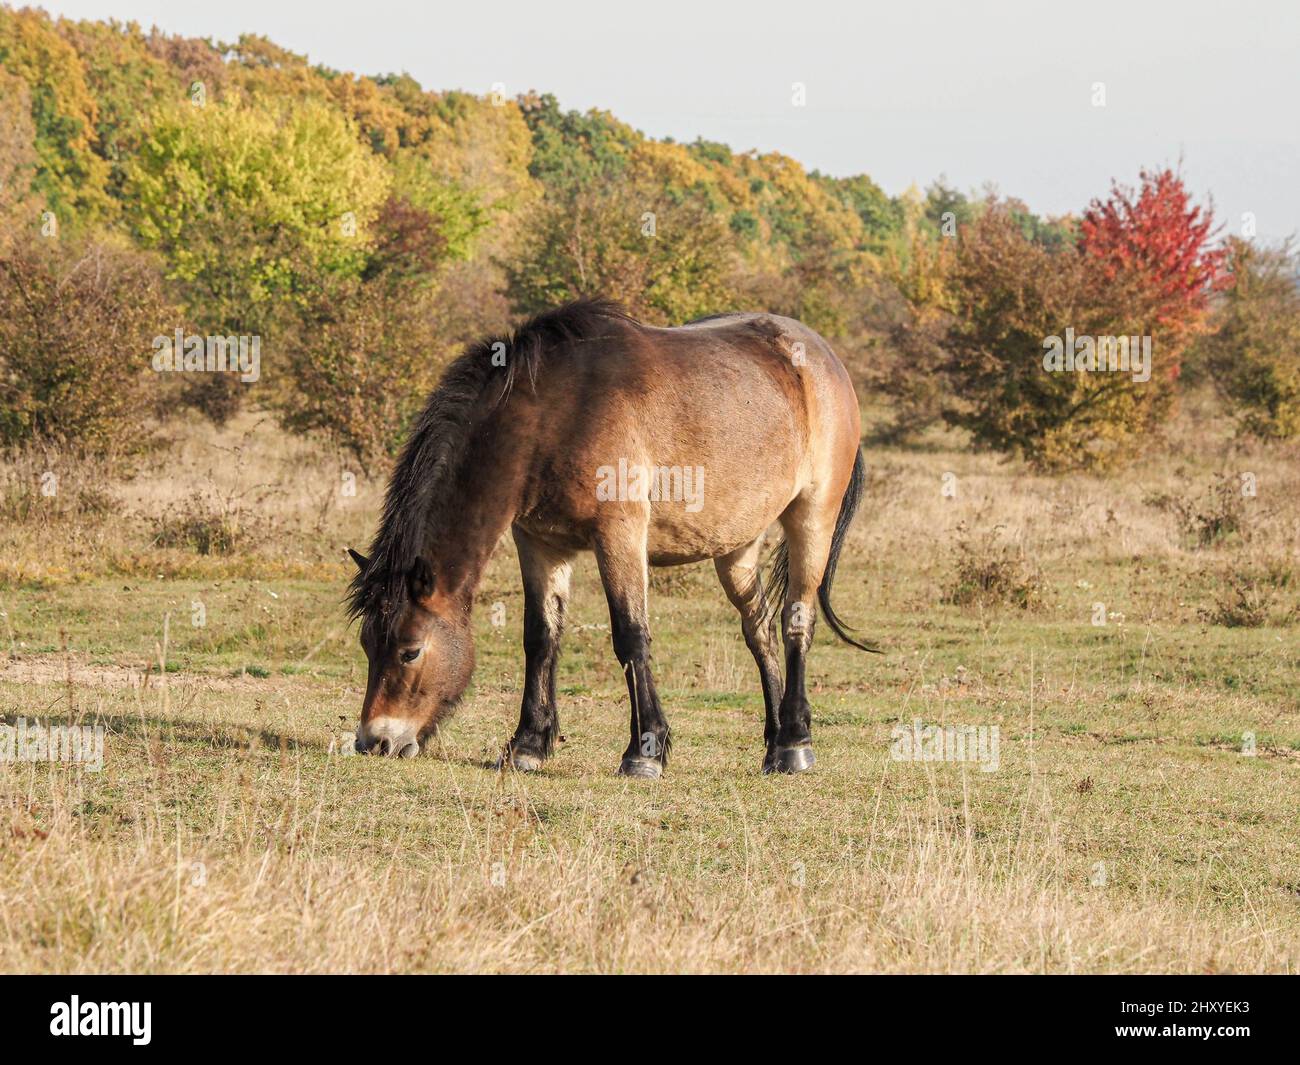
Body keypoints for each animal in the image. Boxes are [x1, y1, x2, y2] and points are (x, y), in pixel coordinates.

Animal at [346, 298, 876, 777]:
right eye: (368, 644)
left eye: (410, 650)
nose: (374, 741)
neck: (555, 413)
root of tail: (822, 360)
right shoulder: (539, 543)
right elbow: (540, 637)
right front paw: (528, 745)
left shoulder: (619, 535)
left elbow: (630, 636)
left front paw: (644, 752)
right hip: (736, 548)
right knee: (759, 630)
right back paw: (772, 743)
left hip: (813, 519)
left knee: (796, 622)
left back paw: (794, 744)